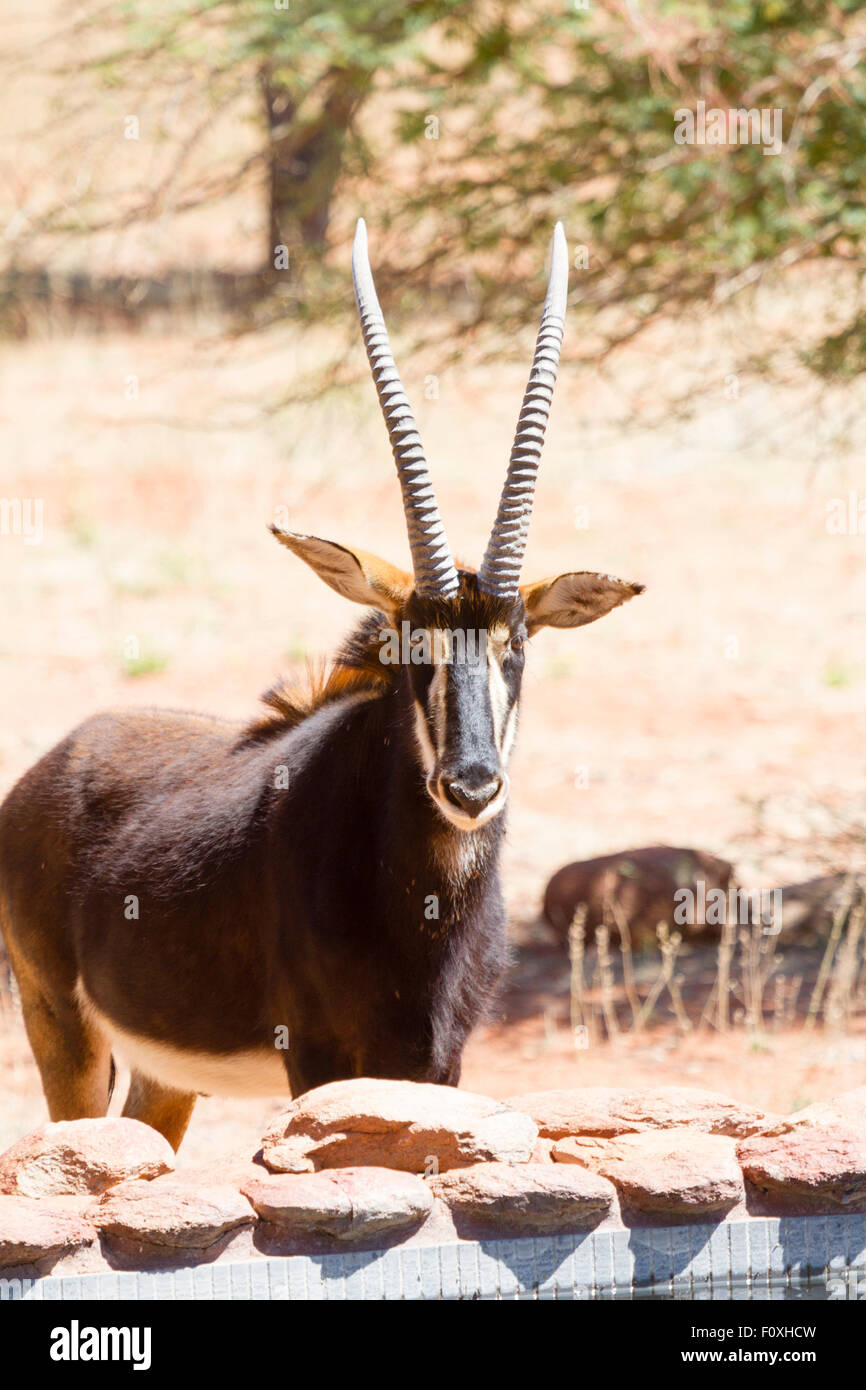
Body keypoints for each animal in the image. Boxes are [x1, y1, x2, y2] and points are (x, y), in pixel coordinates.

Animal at [0, 221, 643, 1149]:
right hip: (60, 1023)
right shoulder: (317, 1054)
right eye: (410, 645)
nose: (471, 786)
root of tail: (55, 762)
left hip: (164, 1071)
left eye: (517, 641)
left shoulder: (440, 1061)